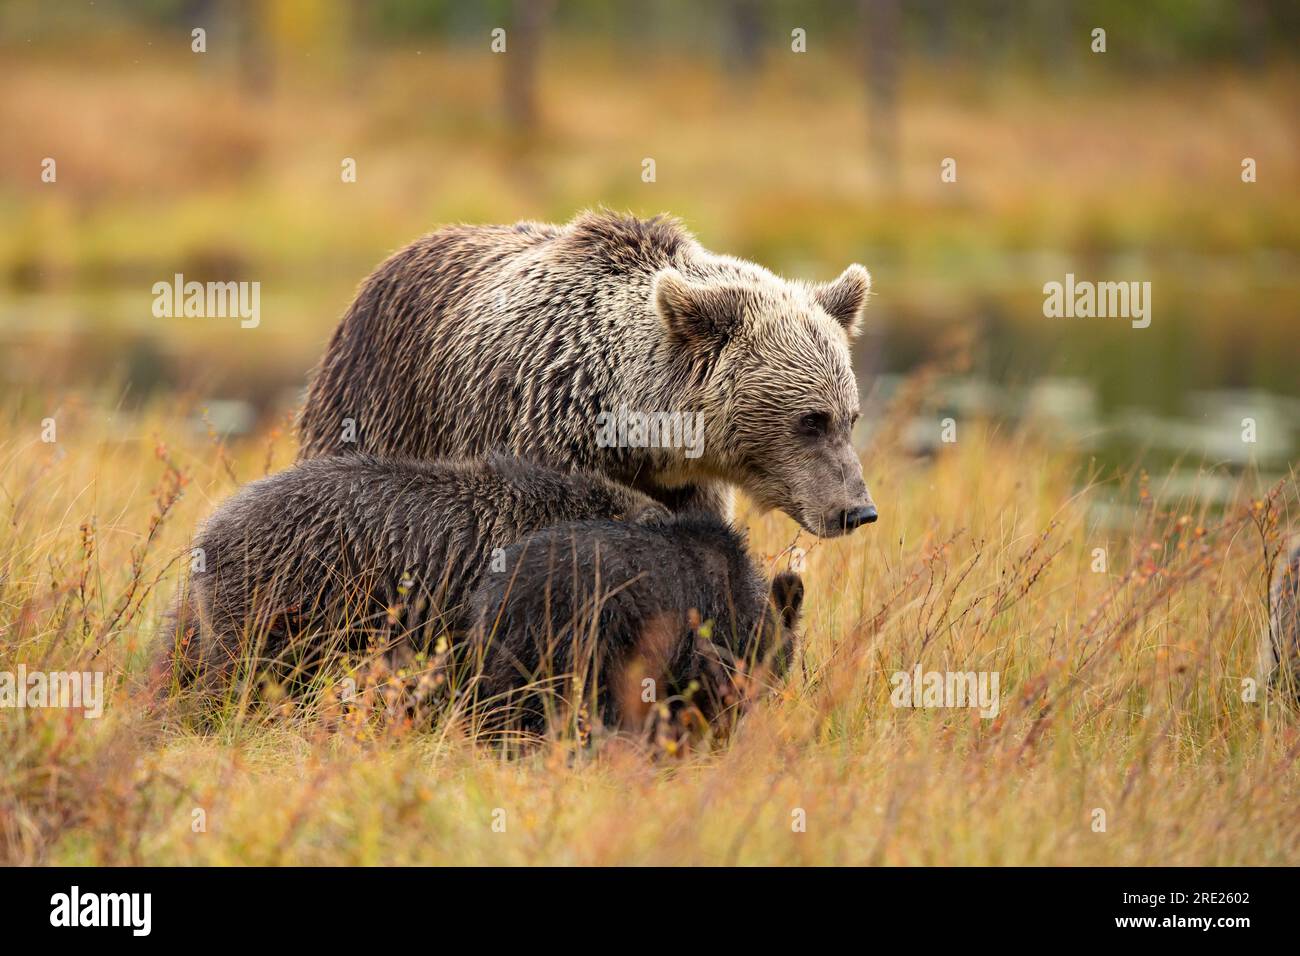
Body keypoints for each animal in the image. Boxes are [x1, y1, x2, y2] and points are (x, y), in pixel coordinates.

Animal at [297, 210, 878, 538]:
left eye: (850, 417)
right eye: (810, 419)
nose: (858, 511)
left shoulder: (690, 484)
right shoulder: (541, 438)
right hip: (380, 401)